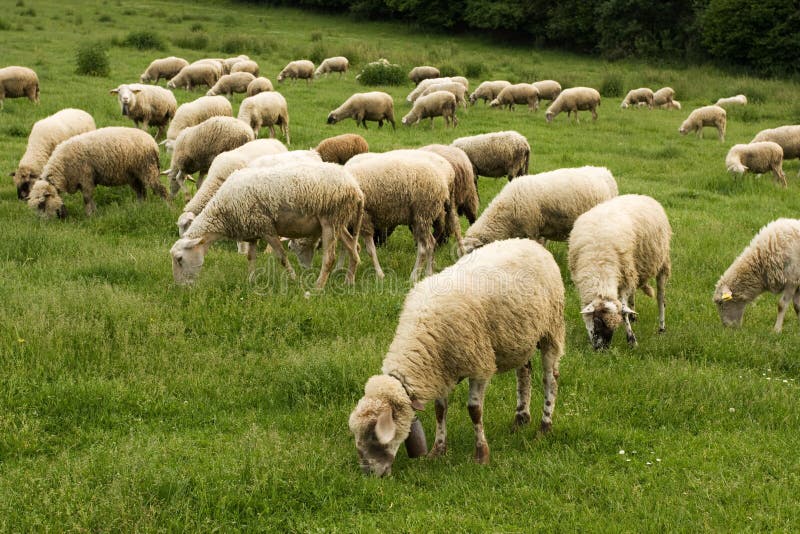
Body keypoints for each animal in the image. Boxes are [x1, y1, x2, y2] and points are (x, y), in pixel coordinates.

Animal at [27, 127, 166, 218]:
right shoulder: (83, 181)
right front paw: (94, 213)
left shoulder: (86, 177)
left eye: (42, 204)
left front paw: (89, 216)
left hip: (148, 169)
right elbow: (90, 198)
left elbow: (87, 198)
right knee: (141, 192)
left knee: (161, 189)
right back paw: (140, 208)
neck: (63, 169)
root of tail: (153, 143)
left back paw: (167, 207)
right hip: (134, 175)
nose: (44, 224)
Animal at [170, 161, 364, 289]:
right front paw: (250, 281)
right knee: (354, 247)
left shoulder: (266, 227)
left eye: (179, 259)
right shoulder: (252, 229)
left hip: (330, 220)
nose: (181, 288)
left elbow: (282, 257)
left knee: (329, 258)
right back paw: (349, 281)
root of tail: (356, 187)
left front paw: (293, 279)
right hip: (339, 222)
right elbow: (250, 257)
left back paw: (317, 287)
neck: (222, 211)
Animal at [343, 149, 457, 281]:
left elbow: (370, 250)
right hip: (421, 218)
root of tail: (443, 182)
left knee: (425, 247)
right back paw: (428, 273)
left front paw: (379, 274)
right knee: (432, 243)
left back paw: (414, 276)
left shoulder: (364, 219)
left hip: (423, 212)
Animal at [348, 238, 565, 476]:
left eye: (373, 435)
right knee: (524, 372)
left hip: (551, 330)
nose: (369, 474)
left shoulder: (479, 364)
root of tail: (530, 242)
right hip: (521, 336)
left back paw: (544, 427)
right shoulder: (440, 369)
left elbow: (474, 411)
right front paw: (438, 450)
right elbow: (440, 410)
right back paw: (521, 418)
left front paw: (481, 455)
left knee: (550, 379)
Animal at [568, 194, 672, 350]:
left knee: (661, 298)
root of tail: (640, 195)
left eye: (614, 327)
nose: (602, 350)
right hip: (634, 267)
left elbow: (623, 311)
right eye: (597, 321)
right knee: (634, 293)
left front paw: (632, 340)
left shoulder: (624, 278)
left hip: (662, 263)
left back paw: (661, 328)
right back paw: (634, 316)